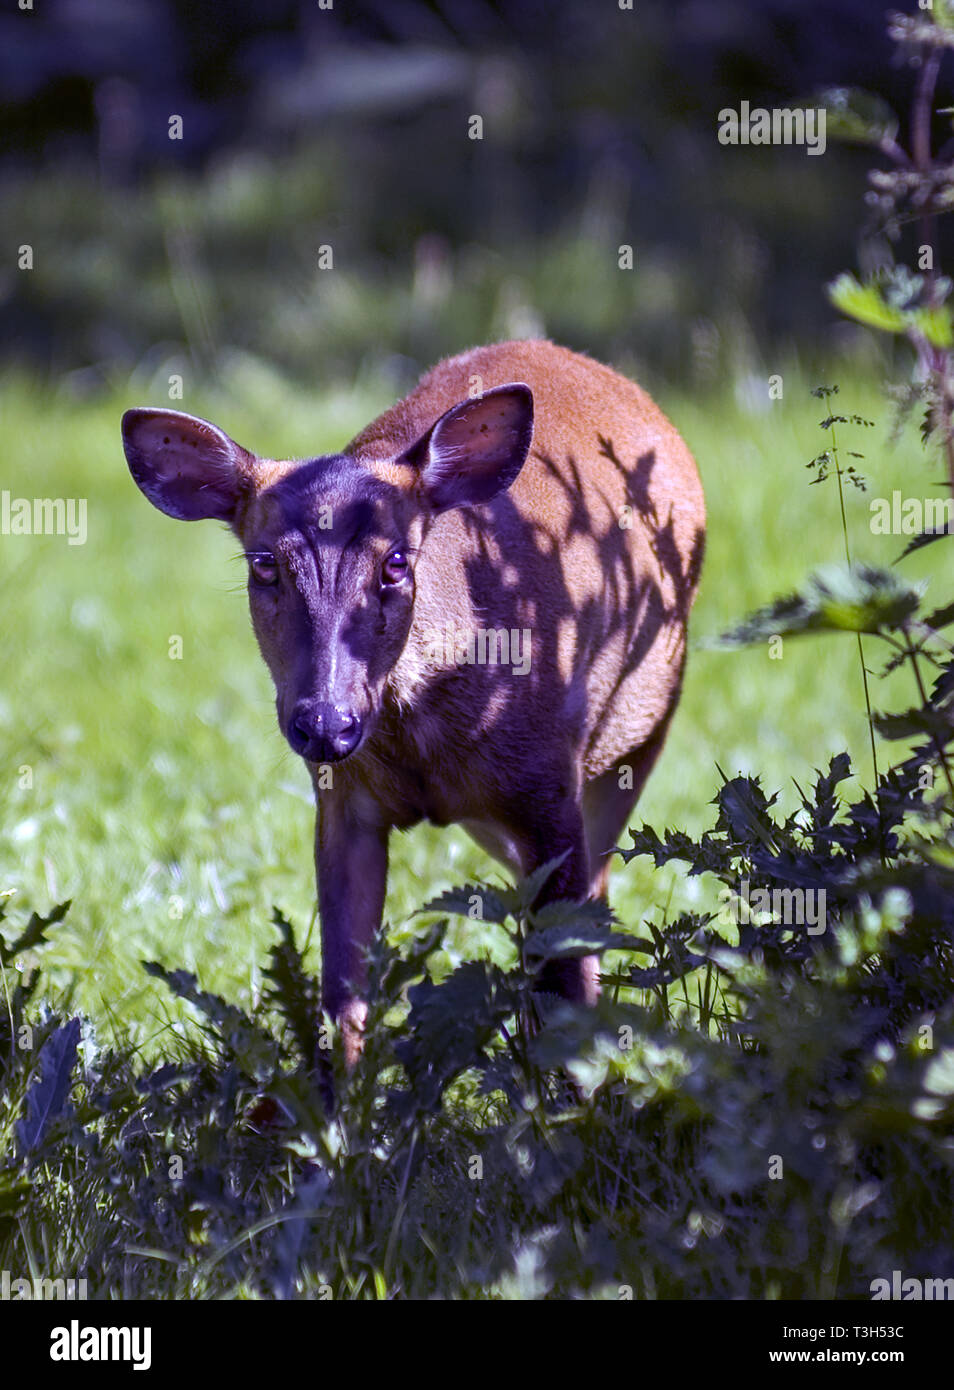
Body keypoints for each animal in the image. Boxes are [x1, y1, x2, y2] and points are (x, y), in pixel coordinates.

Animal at [122, 340, 705, 1070]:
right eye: (264, 565)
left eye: (396, 562)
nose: (326, 722)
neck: (425, 740)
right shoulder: (344, 803)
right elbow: (342, 996)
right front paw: (346, 1097)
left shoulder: (551, 791)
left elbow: (564, 976)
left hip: (637, 737)